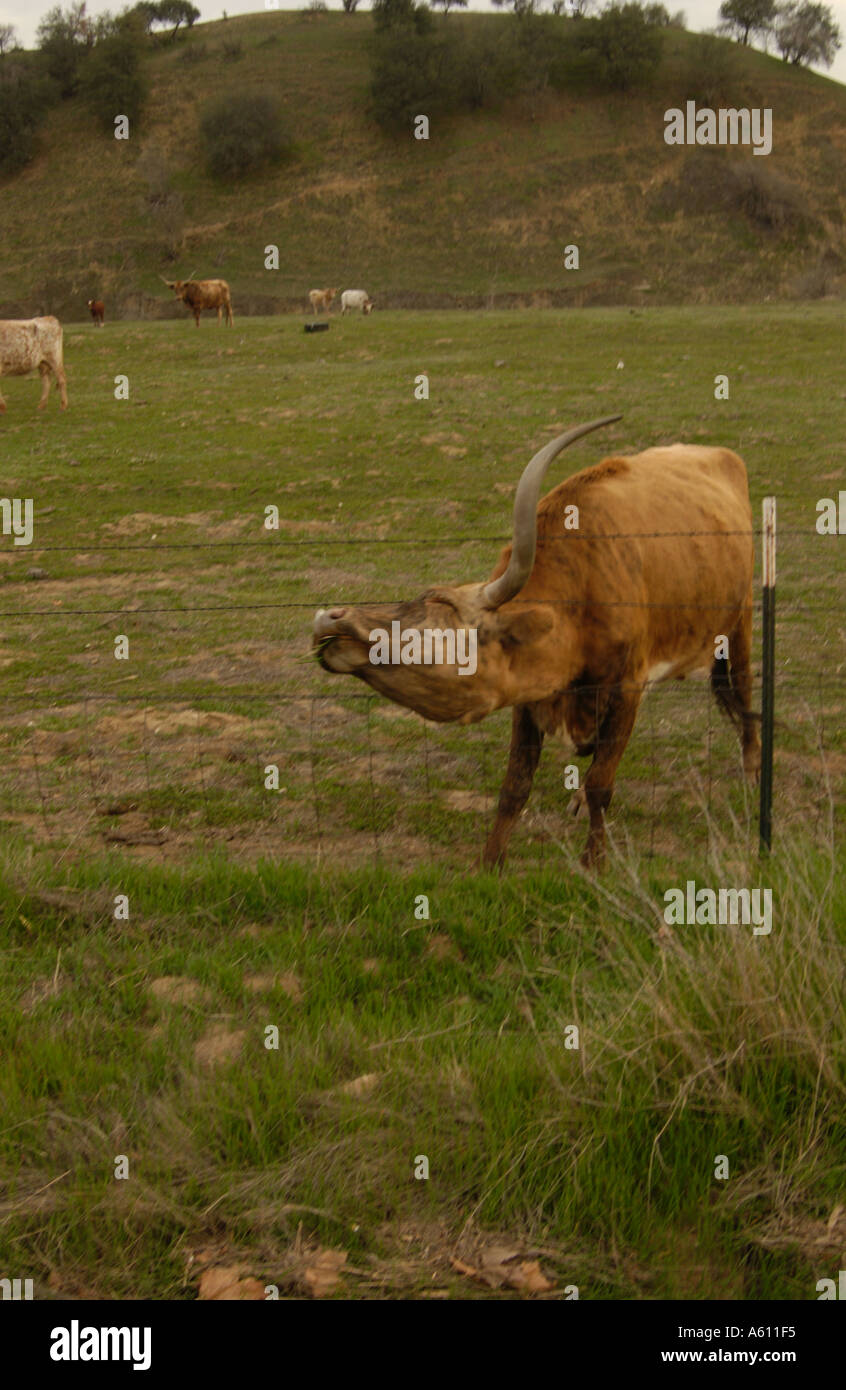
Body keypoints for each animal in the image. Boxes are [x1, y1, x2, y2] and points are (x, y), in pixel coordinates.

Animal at [312, 416, 761, 868]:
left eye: (438, 617)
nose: (329, 618)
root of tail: (717, 453)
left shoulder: (626, 687)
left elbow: (602, 783)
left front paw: (593, 862)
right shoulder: (529, 699)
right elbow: (516, 785)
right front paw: (489, 863)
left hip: (740, 620)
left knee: (743, 692)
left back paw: (752, 773)